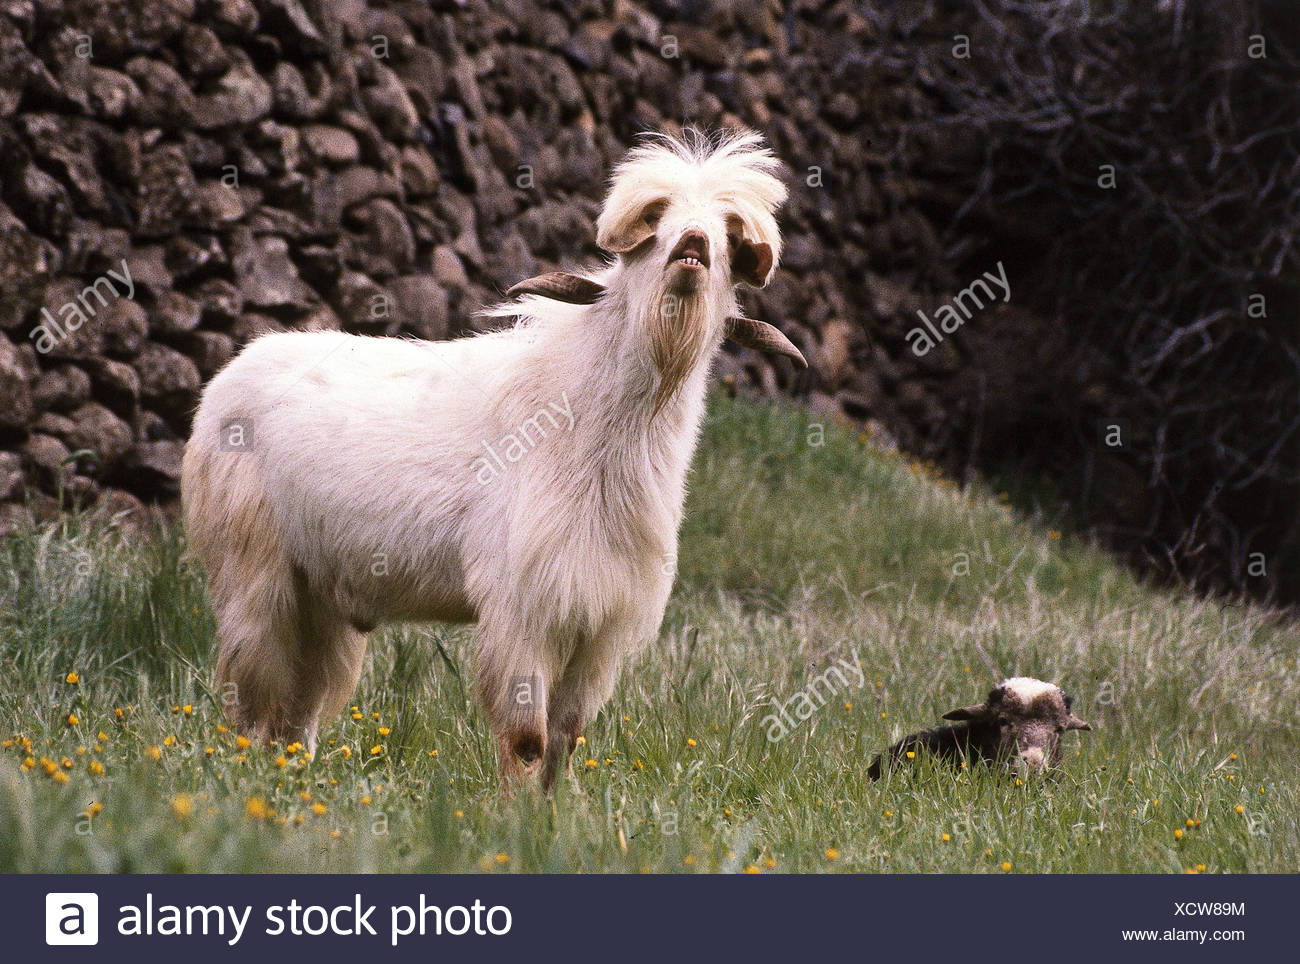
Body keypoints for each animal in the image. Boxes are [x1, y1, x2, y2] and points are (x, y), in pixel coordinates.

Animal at [181, 129, 803, 791]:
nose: (692, 247)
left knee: (298, 712)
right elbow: (528, 739)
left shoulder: (598, 623)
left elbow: (566, 738)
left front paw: (556, 811)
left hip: (320, 595)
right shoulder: (523, 609)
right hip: (254, 574)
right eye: (655, 222)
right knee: (253, 700)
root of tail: (225, 381)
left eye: (727, 236)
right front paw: (515, 813)